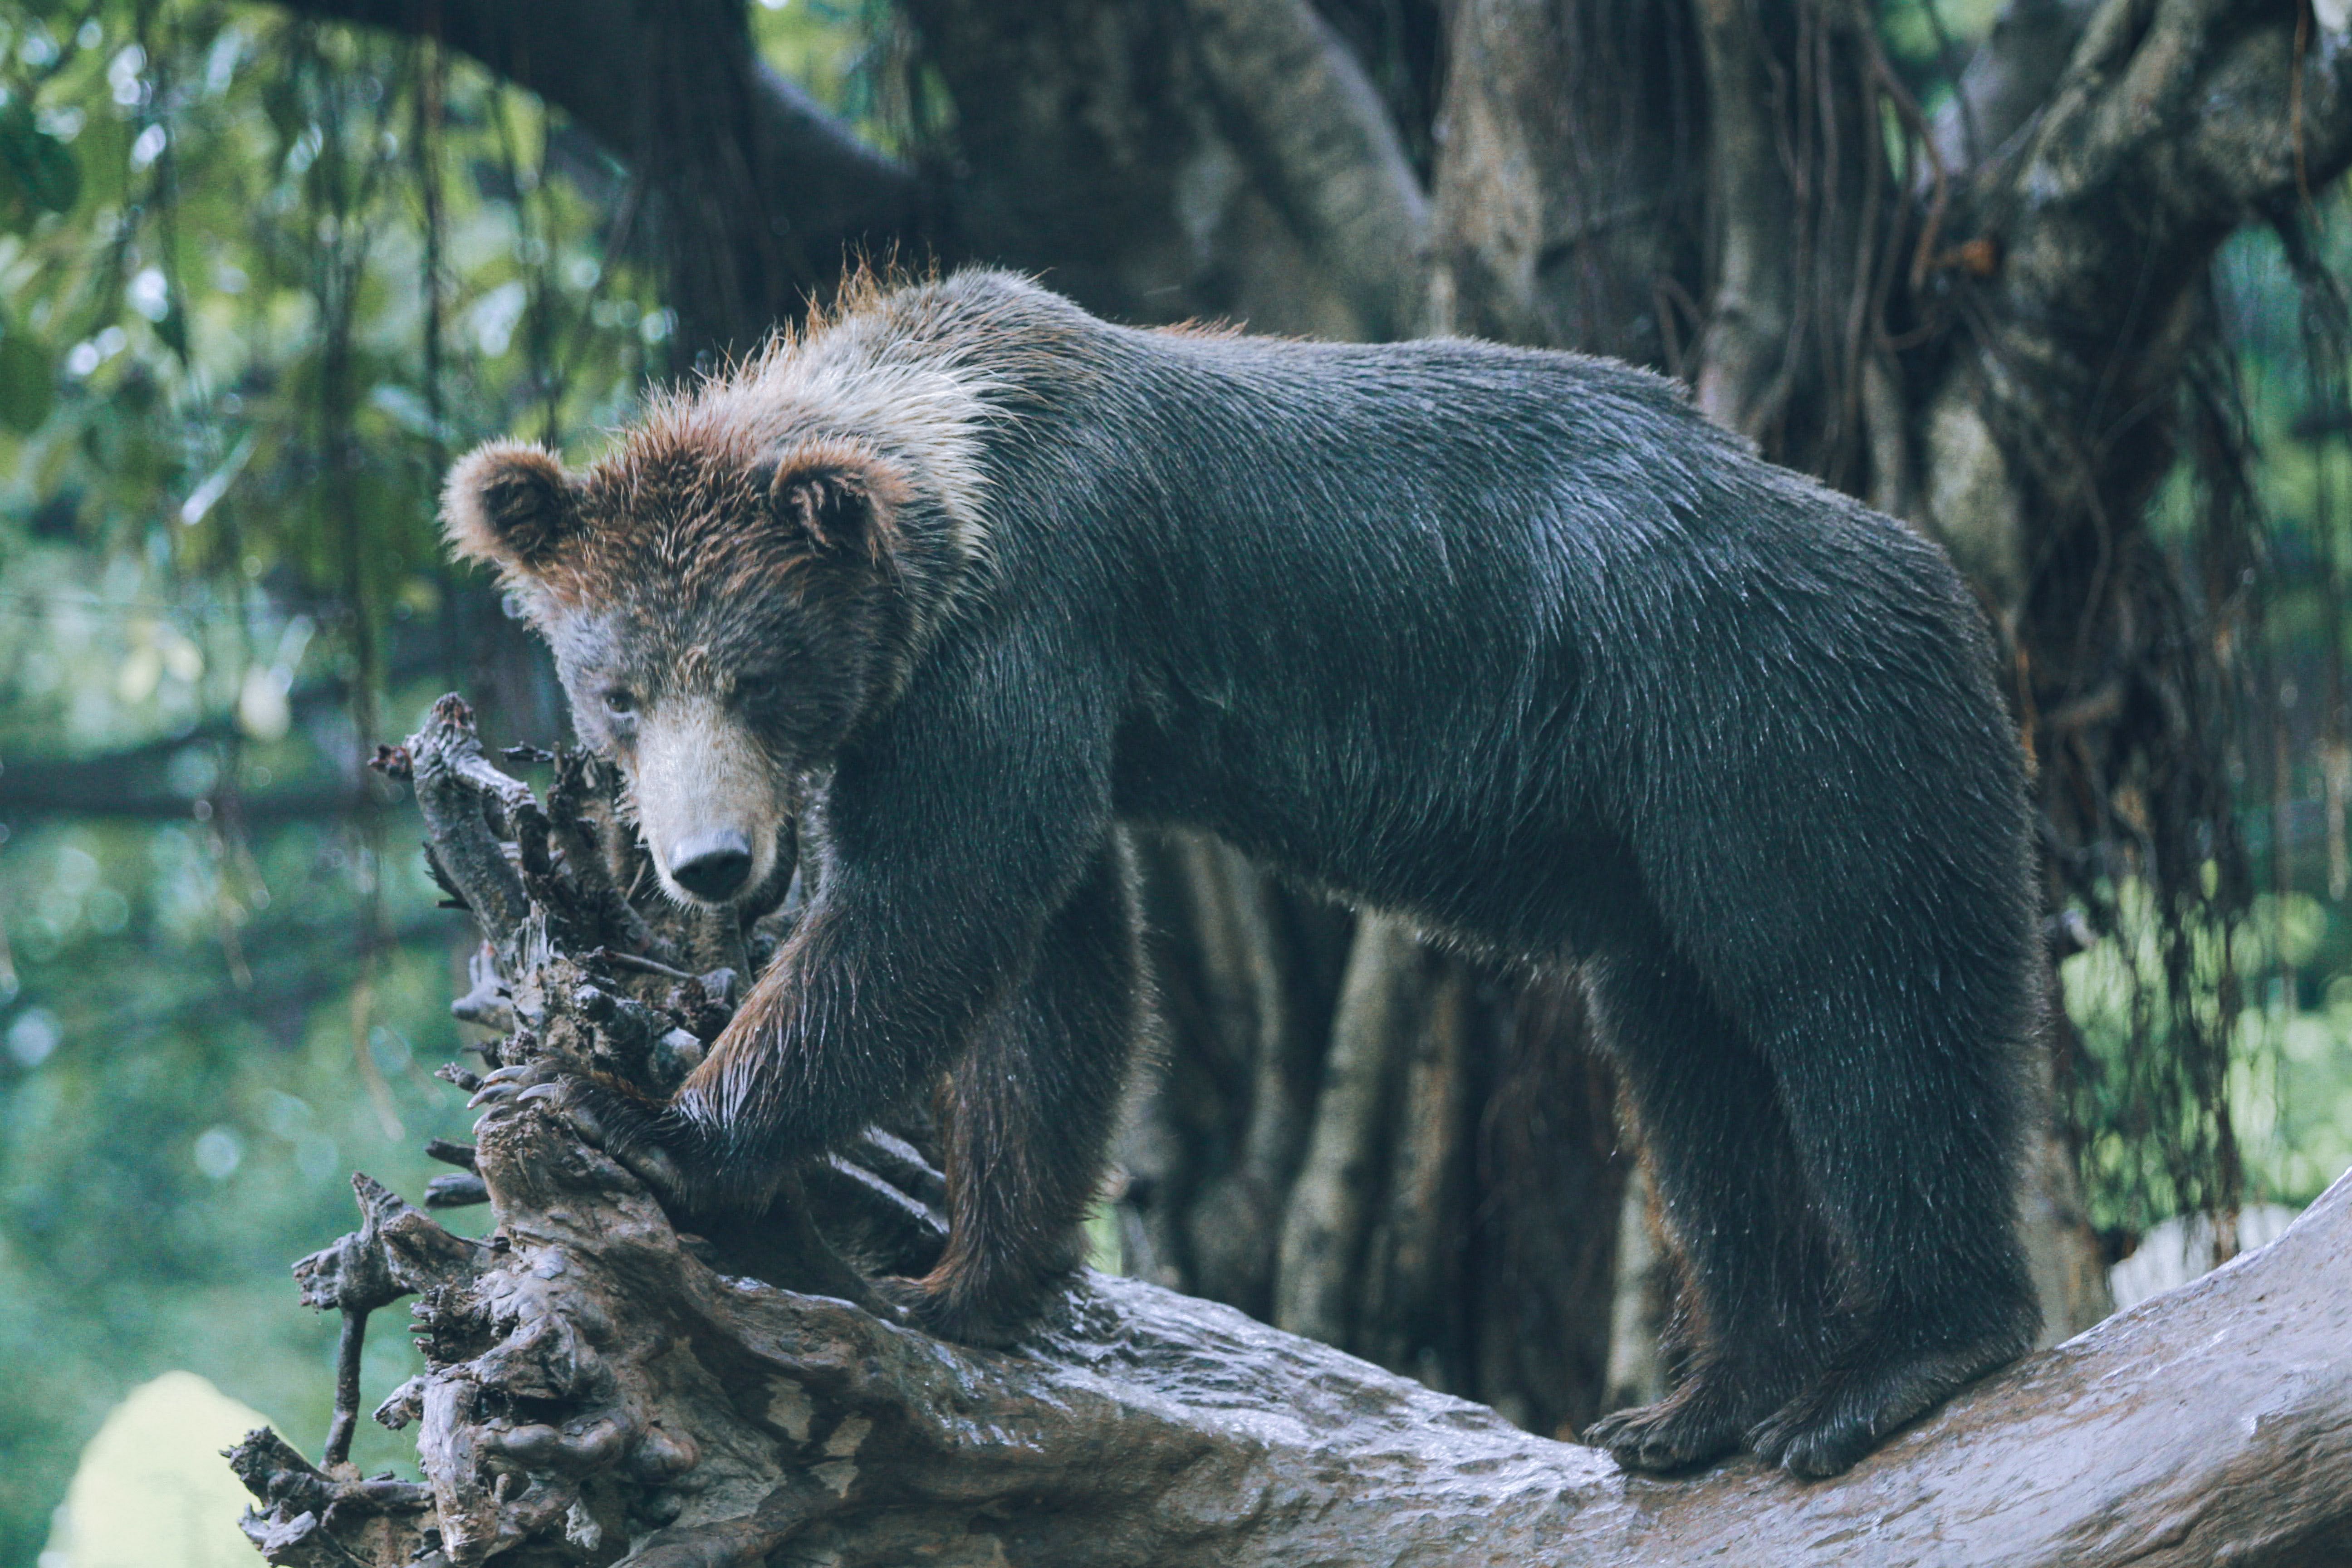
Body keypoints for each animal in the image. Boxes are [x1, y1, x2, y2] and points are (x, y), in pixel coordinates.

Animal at [442, 267, 2043, 1480]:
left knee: (1861, 1005)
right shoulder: (1010, 710)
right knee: (1695, 1079)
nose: (713, 865)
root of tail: (1929, 569)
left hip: (1766, 727)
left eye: (759, 678)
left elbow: (929, 917)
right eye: (619, 692)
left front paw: (651, 1117)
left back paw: (1894, 1361)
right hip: (1654, 851)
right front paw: (968, 1276)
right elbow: (1060, 978)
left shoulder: (1021, 640)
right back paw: (1697, 1405)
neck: (945, 473)